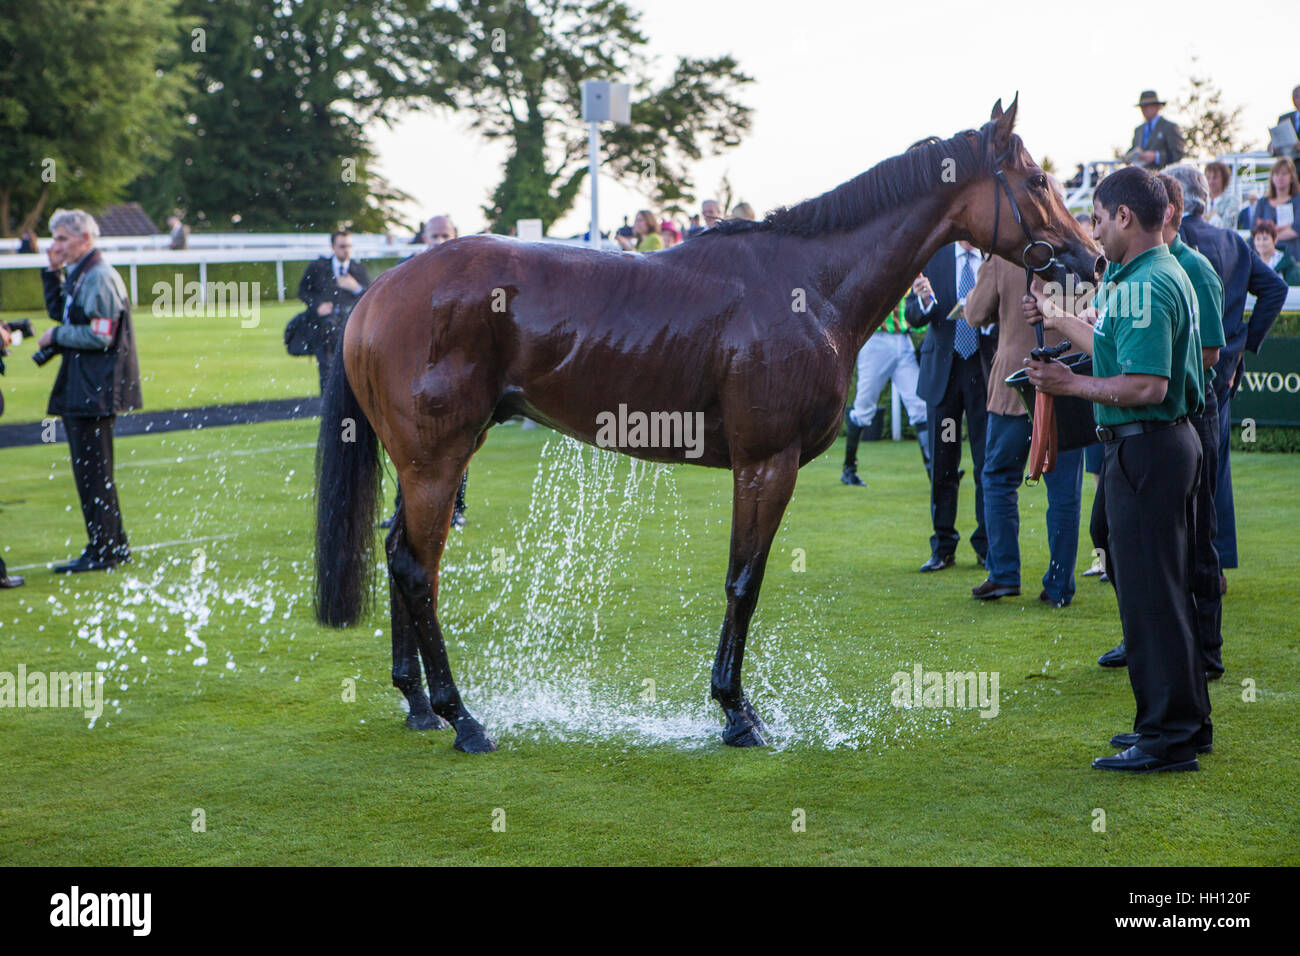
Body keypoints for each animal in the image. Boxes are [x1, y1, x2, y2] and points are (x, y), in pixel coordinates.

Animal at [314, 97, 1103, 753]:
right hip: (436, 461)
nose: (1090, 259)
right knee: (417, 568)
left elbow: (741, 579)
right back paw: (462, 717)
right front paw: (736, 713)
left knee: (398, 553)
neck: (808, 289)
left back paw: (419, 703)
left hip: (433, 458)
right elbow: (743, 582)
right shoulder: (766, 463)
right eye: (1036, 180)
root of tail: (377, 292)